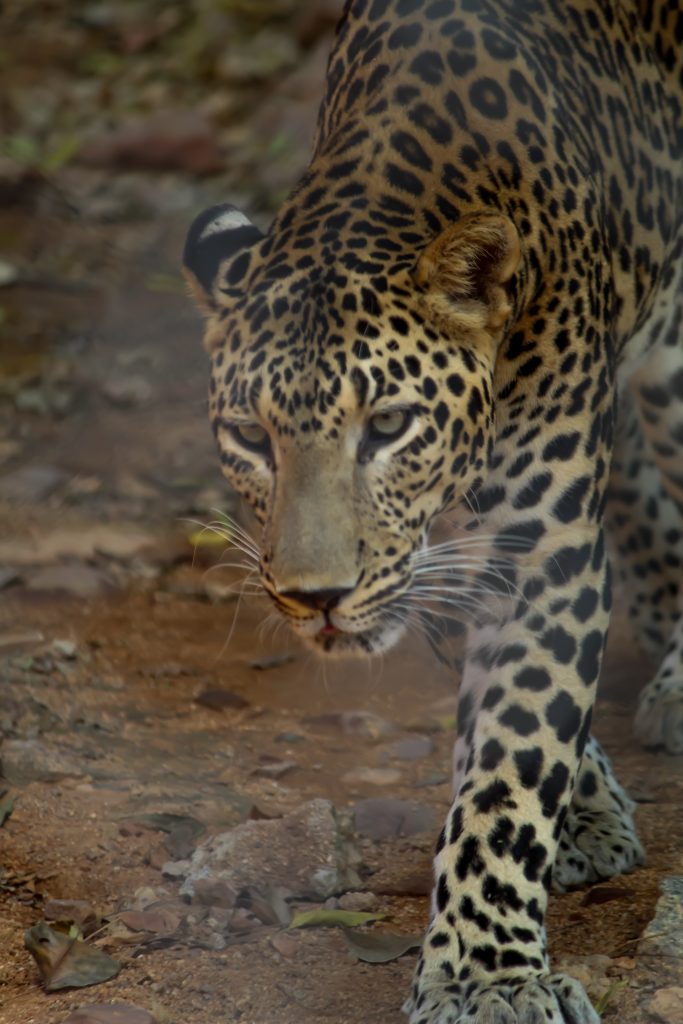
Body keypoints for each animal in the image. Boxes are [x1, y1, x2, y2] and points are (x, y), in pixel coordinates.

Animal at [182, 0, 683, 1021]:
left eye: (388, 424)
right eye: (250, 437)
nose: (314, 600)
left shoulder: (536, 546)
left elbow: (510, 761)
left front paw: (485, 976)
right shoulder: (441, 559)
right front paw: (585, 815)